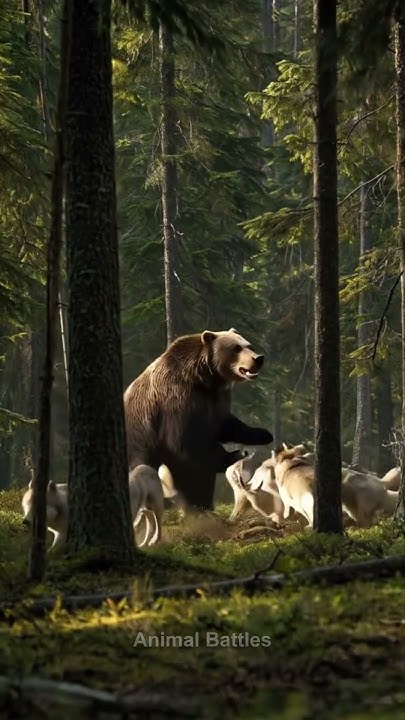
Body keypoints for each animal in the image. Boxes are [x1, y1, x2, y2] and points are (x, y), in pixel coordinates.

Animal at [123, 328, 273, 511]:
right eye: (236, 348)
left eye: (249, 345)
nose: (258, 358)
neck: (206, 378)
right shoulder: (178, 400)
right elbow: (186, 446)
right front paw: (233, 455)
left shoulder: (216, 399)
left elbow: (225, 424)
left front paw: (263, 434)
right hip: (139, 440)